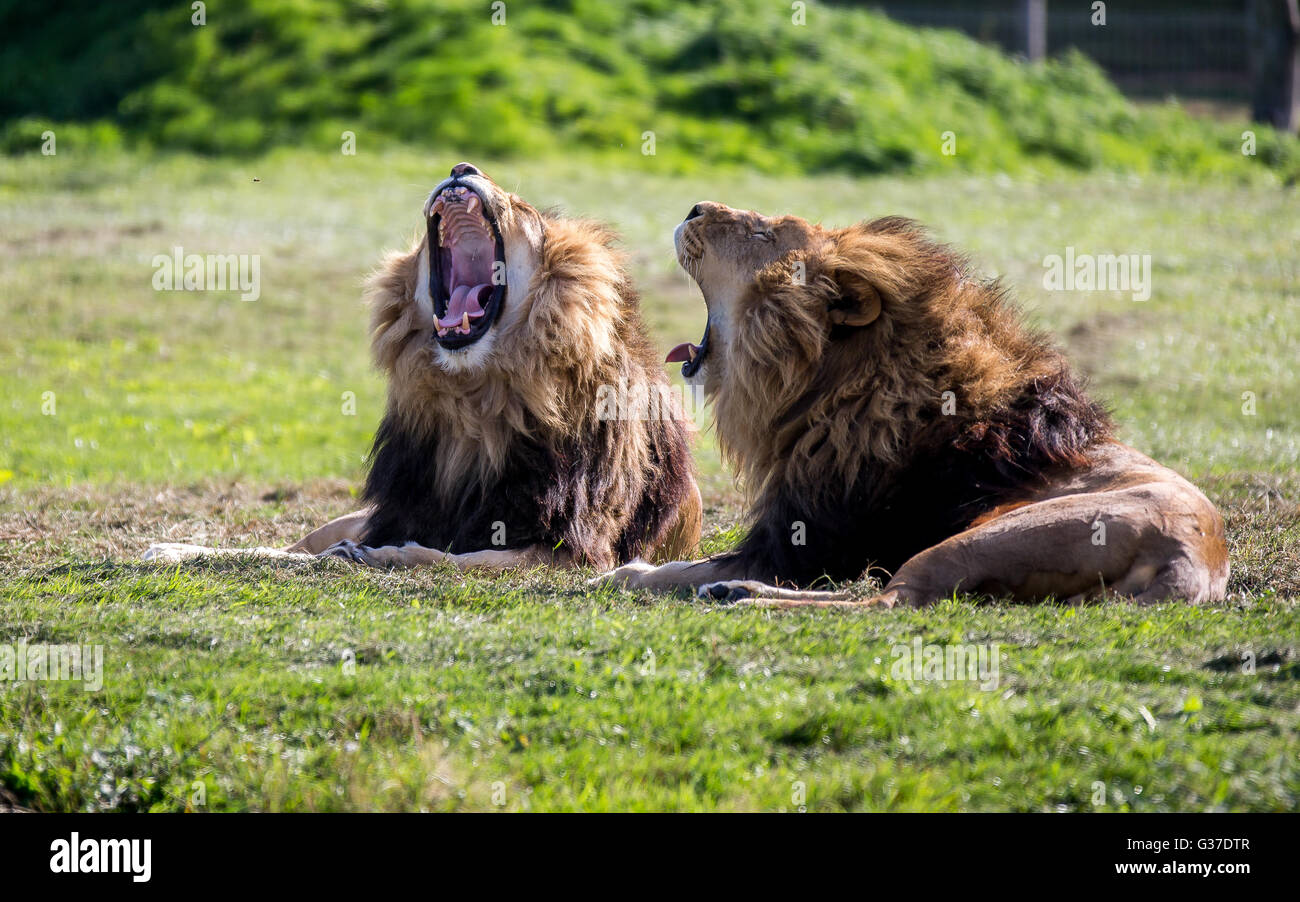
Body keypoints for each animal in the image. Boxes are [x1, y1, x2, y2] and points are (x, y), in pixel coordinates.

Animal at [146, 163, 701, 571]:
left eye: (521, 208)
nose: (461, 168)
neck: (474, 397)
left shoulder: (577, 550)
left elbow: (461, 558)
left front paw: (386, 556)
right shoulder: (394, 510)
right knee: (289, 547)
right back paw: (171, 549)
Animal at [598, 202, 1228, 608]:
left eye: (762, 234)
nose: (694, 207)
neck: (834, 383)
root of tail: (1195, 563)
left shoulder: (801, 543)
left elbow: (675, 570)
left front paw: (622, 574)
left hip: (982, 539)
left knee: (888, 603)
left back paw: (740, 597)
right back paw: (734, 594)